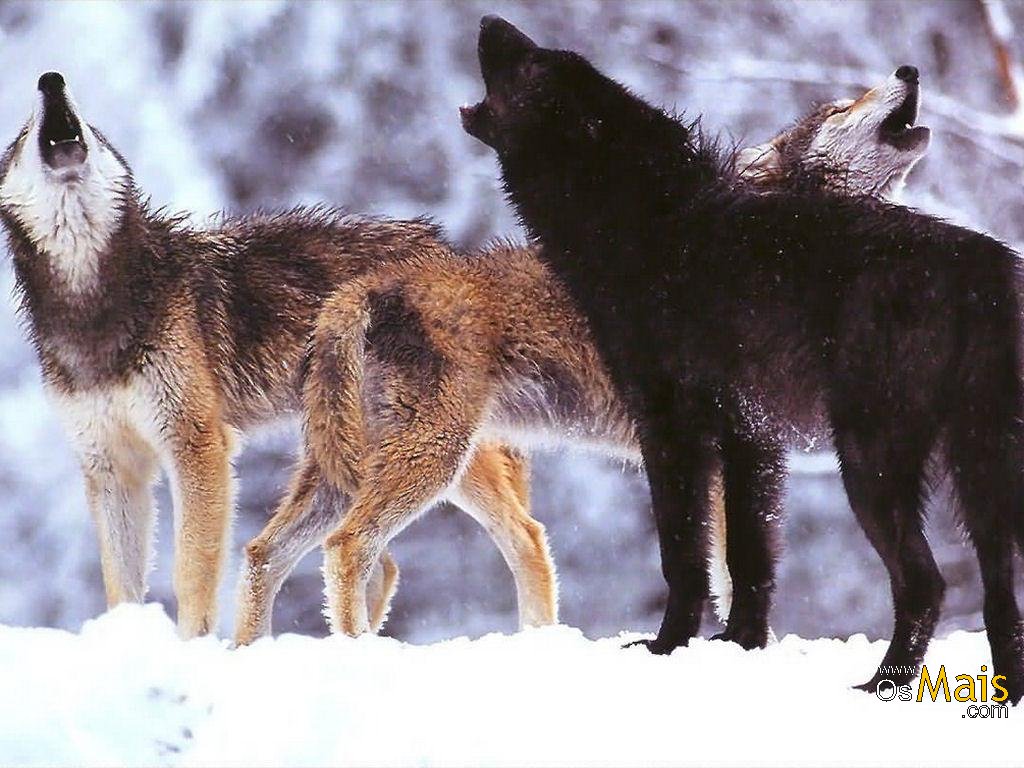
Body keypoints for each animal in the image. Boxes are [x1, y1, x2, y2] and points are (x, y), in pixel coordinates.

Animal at [0, 72, 558, 641]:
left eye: (91, 126)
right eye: (22, 133)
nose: (51, 80)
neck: (95, 304)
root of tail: (451, 251)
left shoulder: (196, 446)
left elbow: (191, 573)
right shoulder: (110, 464)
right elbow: (120, 586)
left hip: (439, 452)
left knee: (526, 536)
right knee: (366, 562)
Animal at [246, 68, 934, 642]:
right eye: (841, 106)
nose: (908, 70)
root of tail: (364, 287)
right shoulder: (738, 449)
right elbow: (734, 570)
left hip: (357, 468)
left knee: (264, 553)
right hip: (433, 461)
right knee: (348, 546)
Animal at [459, 16, 1024, 701]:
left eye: (533, 64)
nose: (488, 21)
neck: (642, 225)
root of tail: (983, 262)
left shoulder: (673, 431)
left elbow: (683, 556)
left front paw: (666, 648)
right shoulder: (751, 438)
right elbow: (748, 561)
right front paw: (741, 646)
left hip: (872, 462)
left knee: (926, 583)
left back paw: (878, 688)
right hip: (981, 469)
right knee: (1001, 594)